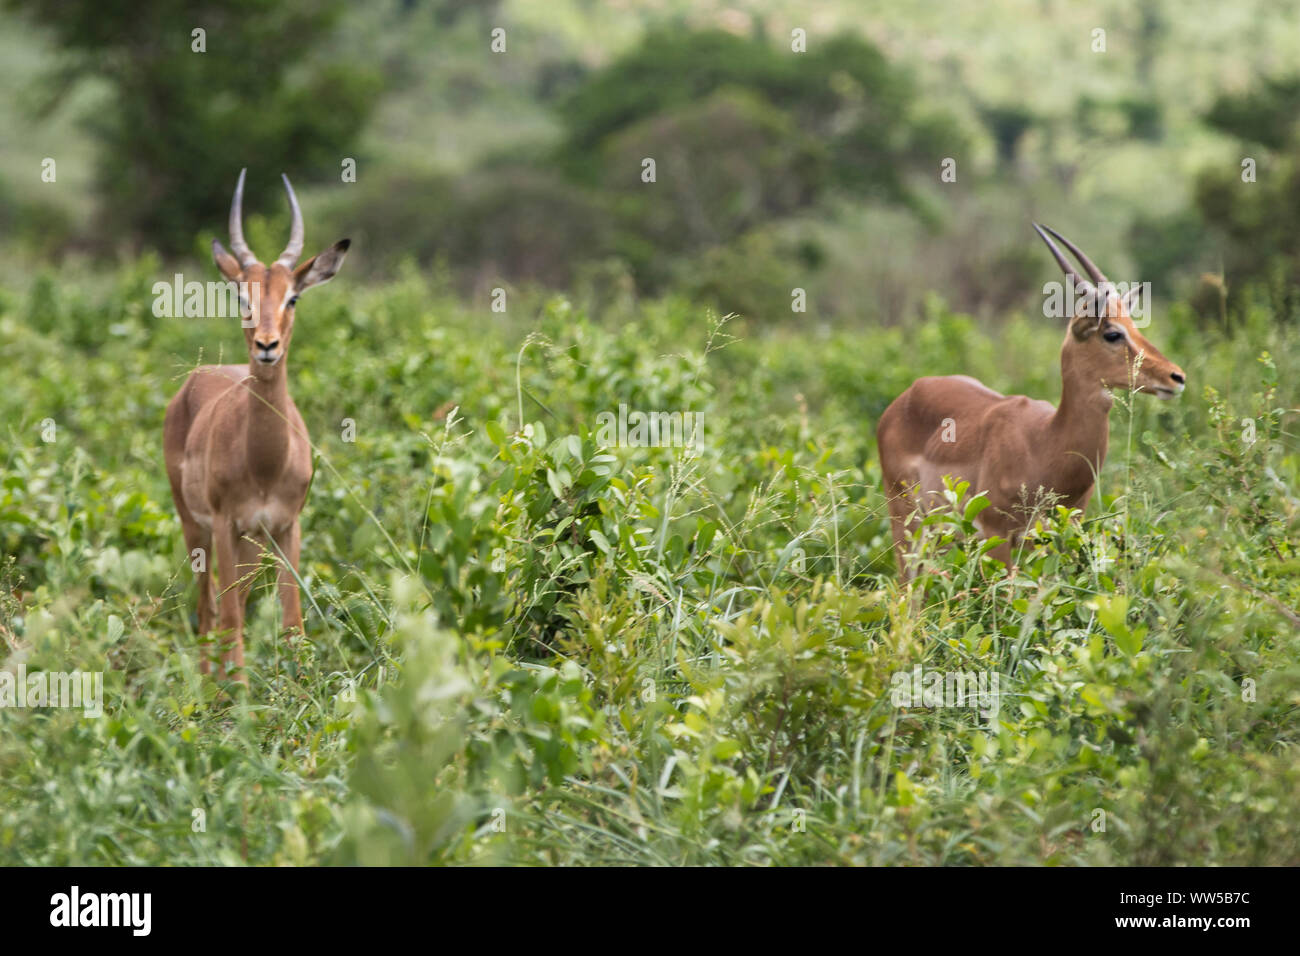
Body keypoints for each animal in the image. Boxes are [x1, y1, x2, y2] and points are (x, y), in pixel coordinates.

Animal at [164, 170, 349, 682]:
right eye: (240, 295)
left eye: (294, 296)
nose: (267, 346)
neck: (266, 464)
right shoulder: (226, 524)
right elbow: (228, 617)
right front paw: (241, 696)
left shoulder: (286, 527)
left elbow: (291, 622)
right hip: (198, 528)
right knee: (210, 607)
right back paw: (211, 686)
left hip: (251, 543)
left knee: (233, 603)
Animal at [877, 223, 1186, 577]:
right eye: (1112, 333)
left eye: (1135, 326)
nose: (1176, 377)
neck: (1045, 442)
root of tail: (902, 399)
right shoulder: (997, 535)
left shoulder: (1054, 534)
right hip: (906, 523)